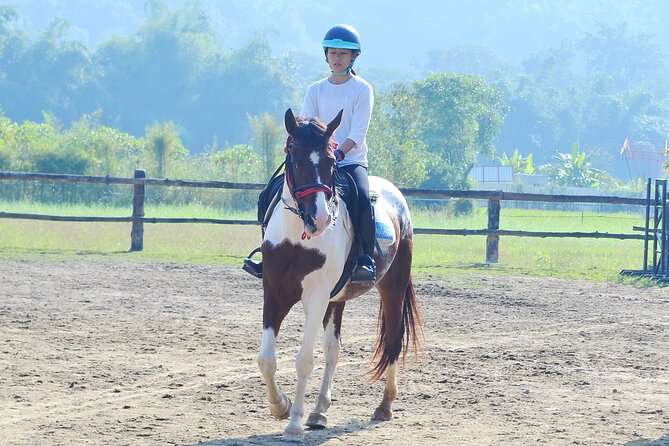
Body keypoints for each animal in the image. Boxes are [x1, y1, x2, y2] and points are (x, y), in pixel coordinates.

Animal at [257, 108, 422, 442]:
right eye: (294, 157)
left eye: (332, 161)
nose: (319, 218)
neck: (297, 239)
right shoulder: (274, 291)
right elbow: (267, 358)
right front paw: (280, 406)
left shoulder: (316, 296)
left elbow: (304, 360)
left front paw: (293, 424)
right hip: (337, 299)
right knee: (333, 350)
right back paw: (319, 411)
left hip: (393, 287)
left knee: (393, 339)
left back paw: (384, 406)